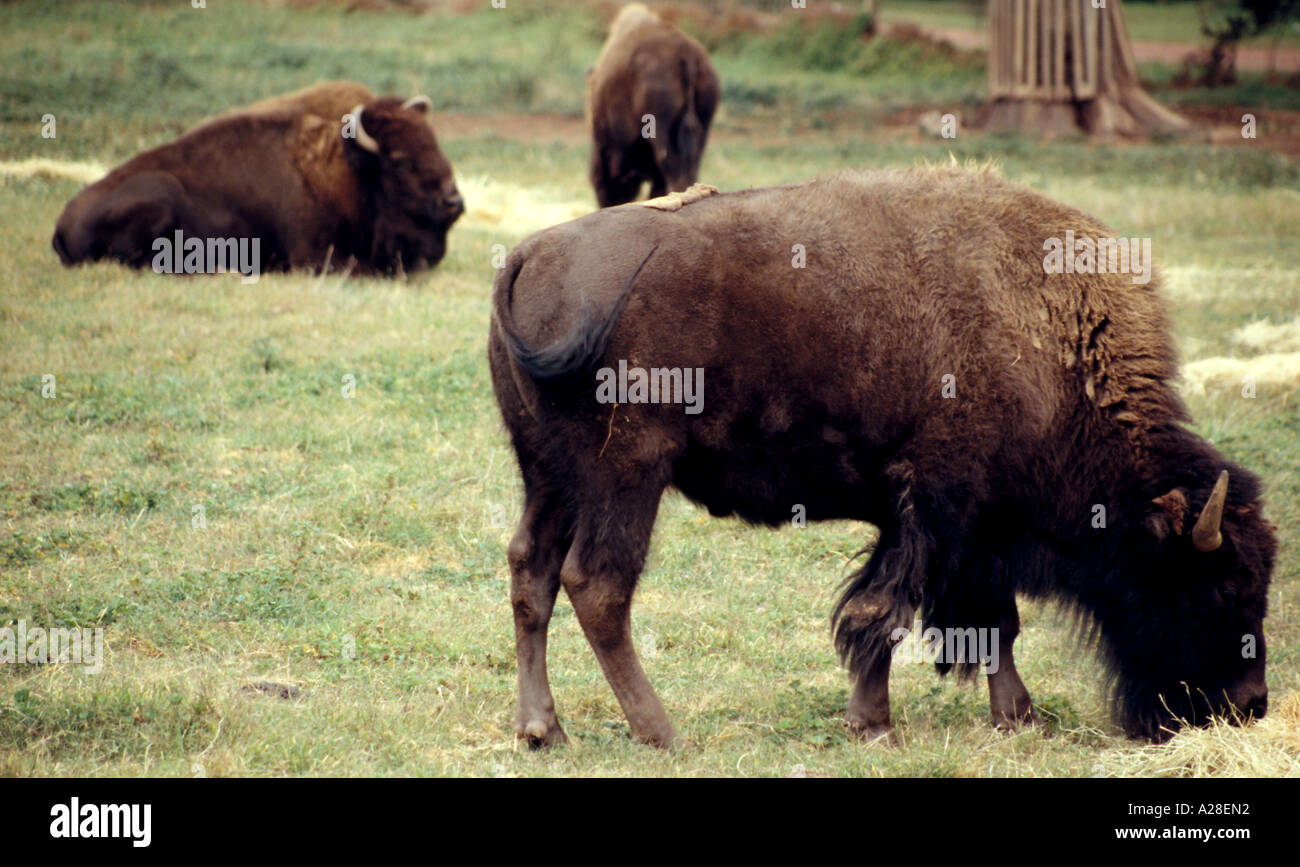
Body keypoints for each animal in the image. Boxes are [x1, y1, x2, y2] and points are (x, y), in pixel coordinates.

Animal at [52, 81, 464, 276]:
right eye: (399, 163)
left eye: (434, 144)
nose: (454, 202)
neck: (346, 176)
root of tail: (61, 226)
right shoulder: (313, 257)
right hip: (160, 194)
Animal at [489, 169, 1277, 749]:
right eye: (1218, 587)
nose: (1250, 705)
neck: (1045, 337)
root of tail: (527, 256)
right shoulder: (934, 504)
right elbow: (884, 610)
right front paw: (874, 725)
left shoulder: (975, 522)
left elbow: (991, 619)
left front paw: (1017, 716)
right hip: (628, 475)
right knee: (598, 586)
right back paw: (662, 732)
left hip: (548, 477)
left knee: (532, 570)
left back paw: (542, 730)